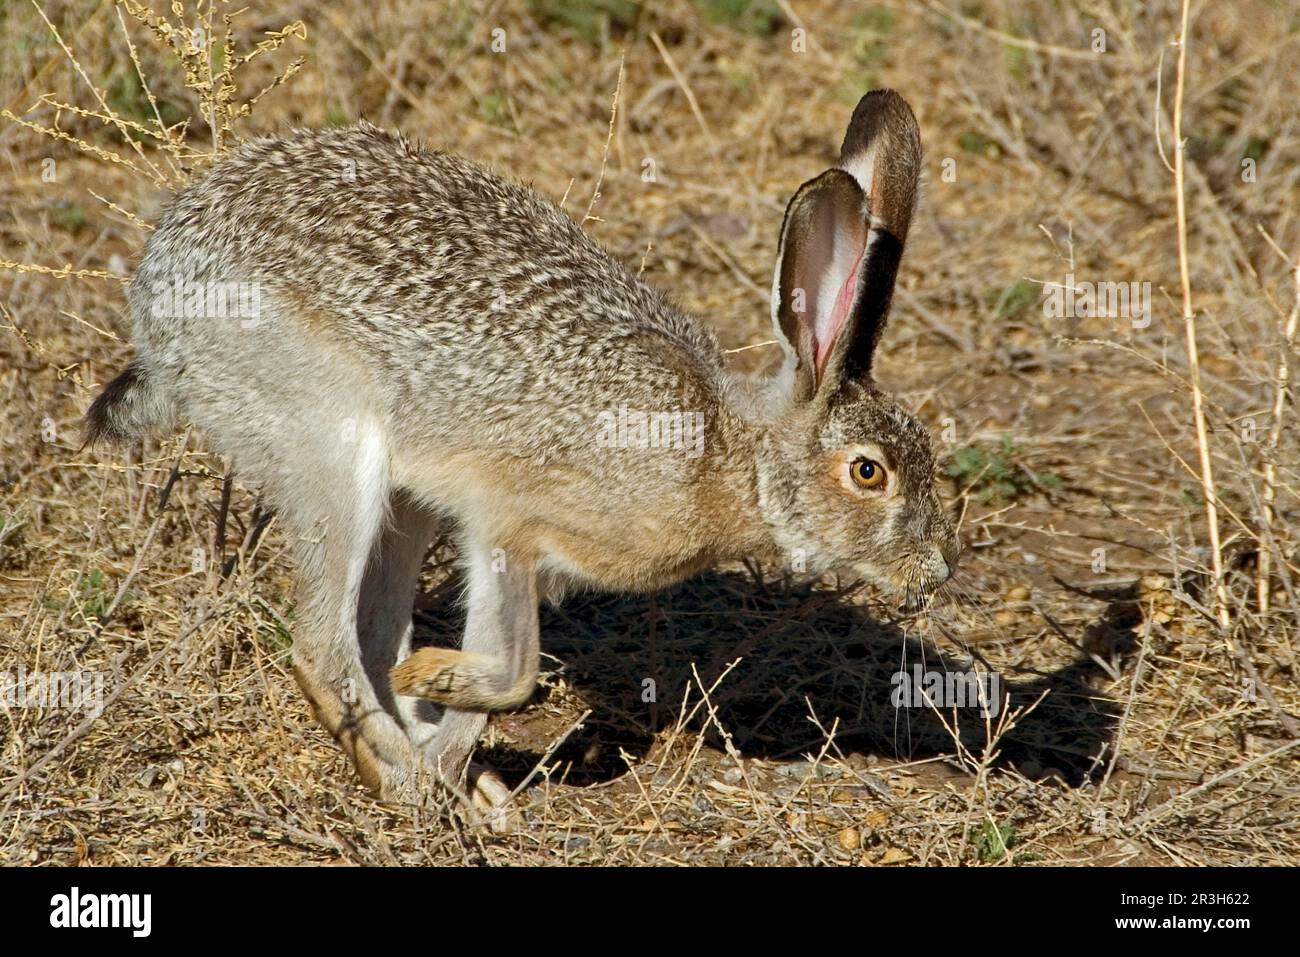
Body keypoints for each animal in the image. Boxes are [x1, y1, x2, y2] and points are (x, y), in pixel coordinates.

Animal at [85, 88, 960, 818]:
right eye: (868, 471)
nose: (936, 570)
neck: (728, 452)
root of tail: (160, 296)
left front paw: (456, 756)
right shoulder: (509, 523)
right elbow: (514, 671)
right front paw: (438, 712)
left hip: (402, 499)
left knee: (370, 630)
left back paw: (443, 773)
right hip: (334, 453)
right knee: (323, 647)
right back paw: (404, 782)